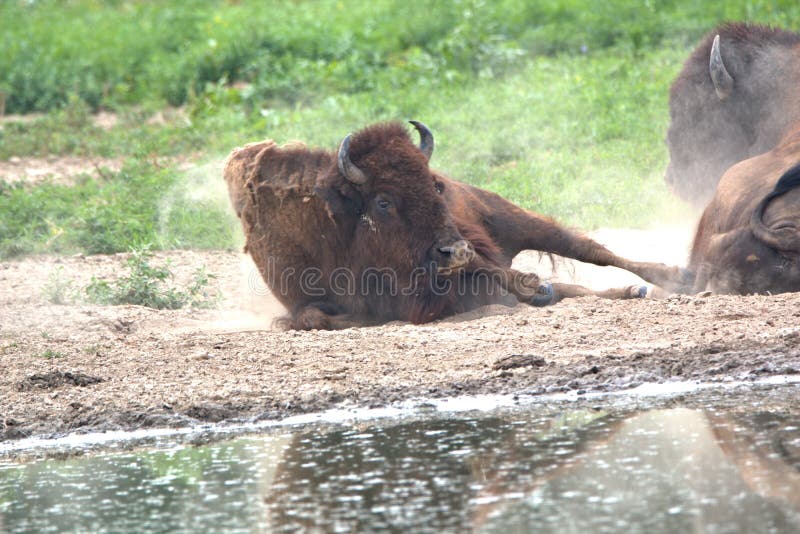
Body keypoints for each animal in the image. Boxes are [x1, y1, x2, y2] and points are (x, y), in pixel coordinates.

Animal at [225, 121, 688, 329]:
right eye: (383, 201)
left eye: (435, 185)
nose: (455, 248)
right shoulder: (303, 303)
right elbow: (313, 317)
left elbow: (493, 269)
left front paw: (533, 286)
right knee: (572, 282)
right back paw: (624, 291)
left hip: (516, 219)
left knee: (587, 248)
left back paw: (669, 275)